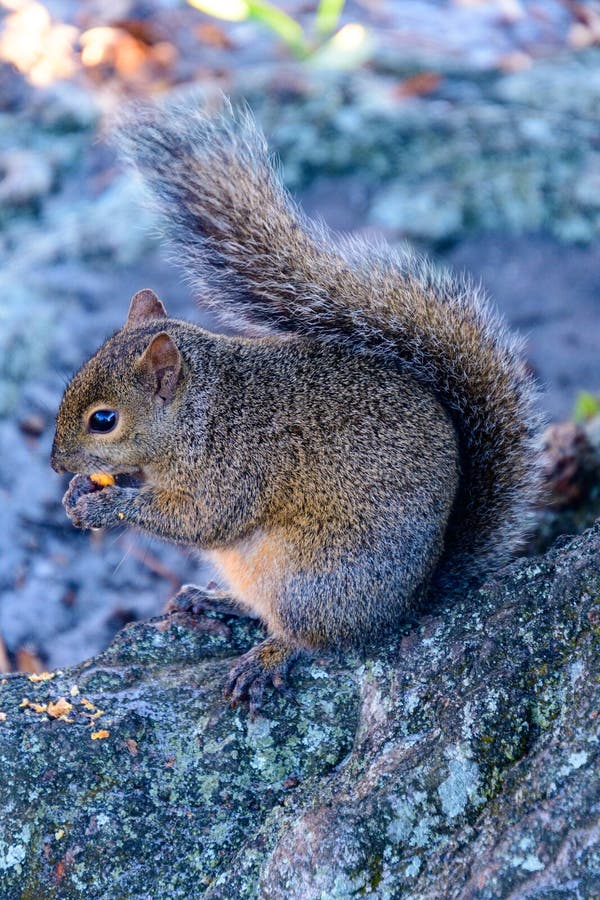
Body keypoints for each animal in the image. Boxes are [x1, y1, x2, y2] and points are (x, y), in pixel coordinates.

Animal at [51, 97, 541, 713]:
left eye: (104, 420)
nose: (55, 464)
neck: (199, 412)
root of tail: (415, 597)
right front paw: (78, 492)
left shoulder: (233, 466)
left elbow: (198, 518)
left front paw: (104, 506)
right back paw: (215, 600)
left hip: (313, 580)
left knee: (313, 635)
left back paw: (267, 656)